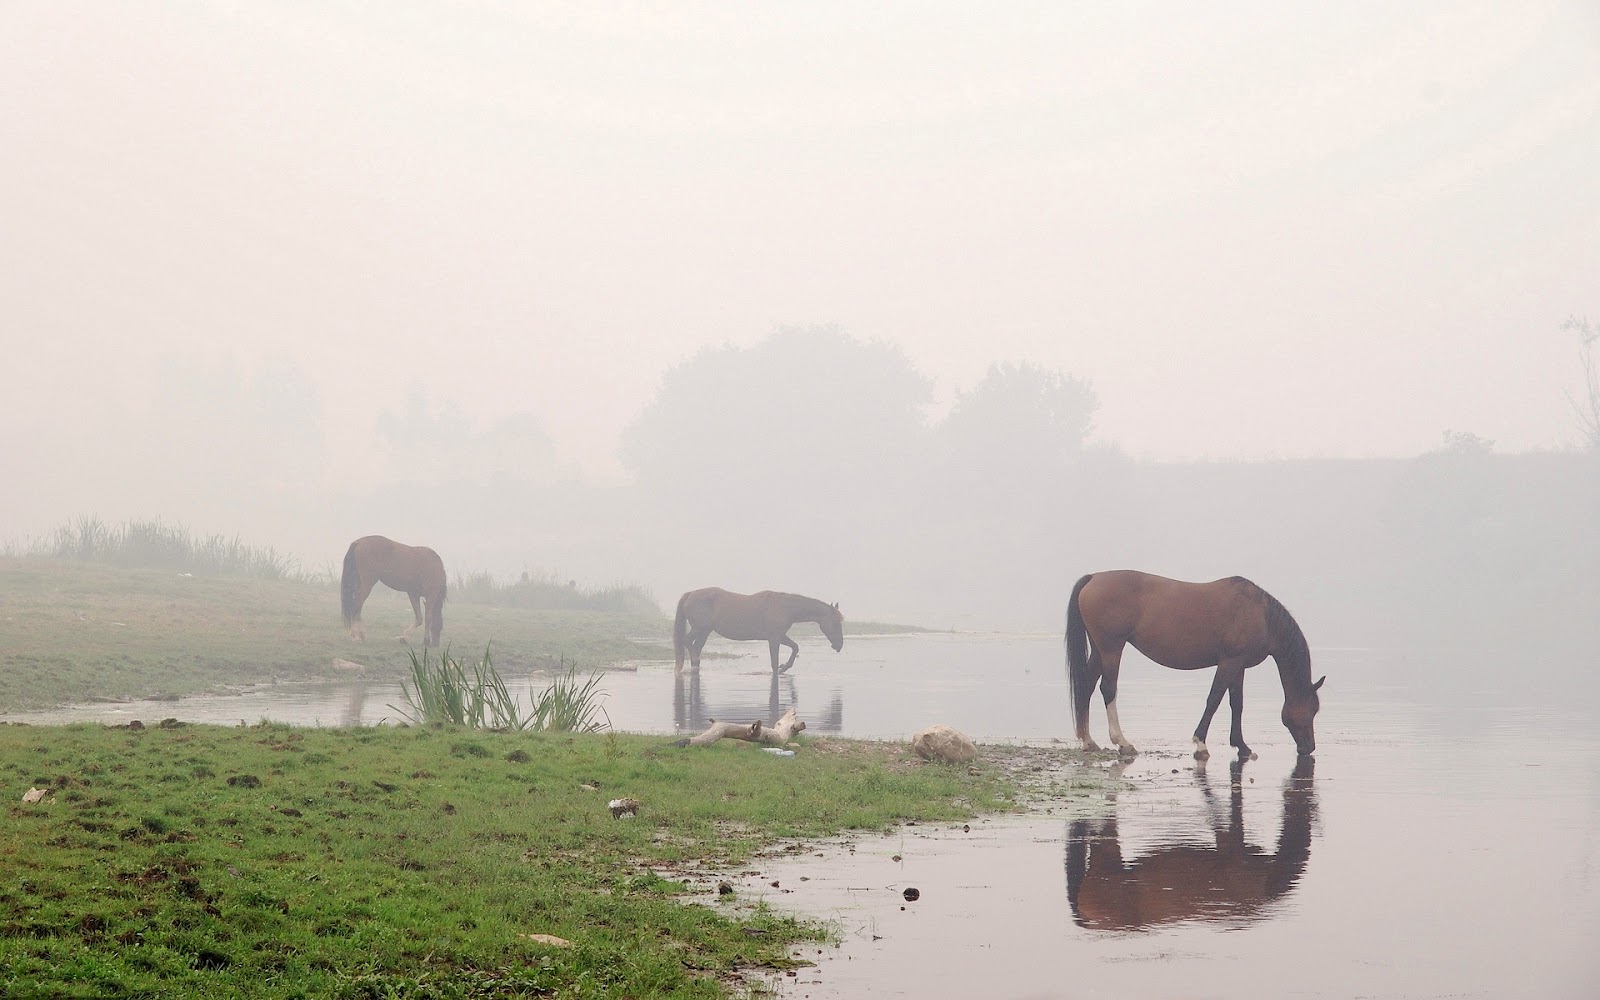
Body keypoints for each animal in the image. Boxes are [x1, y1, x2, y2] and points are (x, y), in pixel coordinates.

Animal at [673, 587, 844, 674]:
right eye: (835, 623)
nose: (839, 645)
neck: (785, 607)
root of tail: (689, 594)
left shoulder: (780, 636)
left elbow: (795, 647)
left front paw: (784, 667)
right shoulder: (774, 638)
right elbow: (774, 663)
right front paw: (780, 669)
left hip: (704, 632)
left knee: (695, 647)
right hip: (700, 629)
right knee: (687, 642)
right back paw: (695, 663)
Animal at [1065, 570, 1324, 758]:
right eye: (1313, 709)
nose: (1309, 747)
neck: (1261, 615)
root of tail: (1094, 577)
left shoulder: (1239, 666)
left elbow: (1236, 704)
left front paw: (1242, 746)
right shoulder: (1229, 662)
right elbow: (1214, 699)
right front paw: (1200, 744)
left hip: (1099, 651)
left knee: (1087, 686)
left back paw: (1088, 741)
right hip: (1112, 650)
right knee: (1108, 689)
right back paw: (1123, 742)